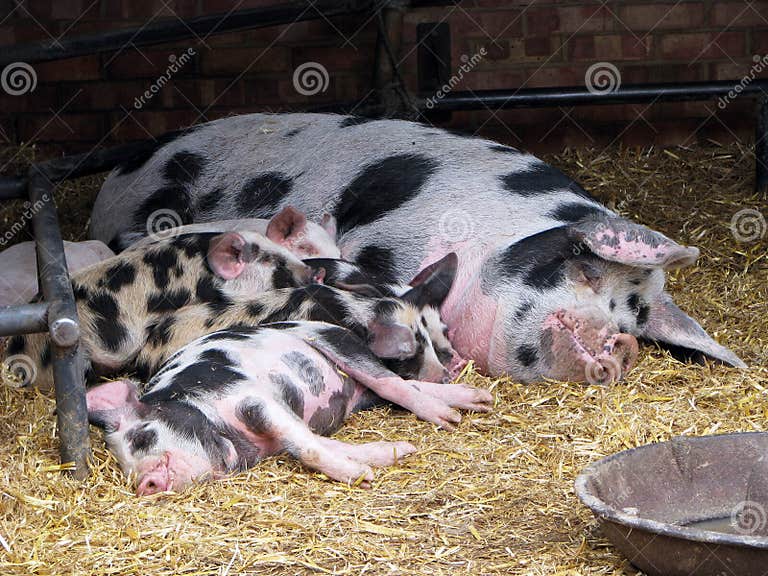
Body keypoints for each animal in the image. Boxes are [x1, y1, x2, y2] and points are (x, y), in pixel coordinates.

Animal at [85, 321, 494, 494]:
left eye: (143, 436)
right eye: (124, 467)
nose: (144, 484)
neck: (230, 441)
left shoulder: (253, 399)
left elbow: (308, 447)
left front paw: (362, 479)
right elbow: (318, 441)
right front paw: (395, 454)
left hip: (336, 343)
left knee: (391, 381)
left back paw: (451, 417)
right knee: (402, 384)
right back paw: (478, 400)